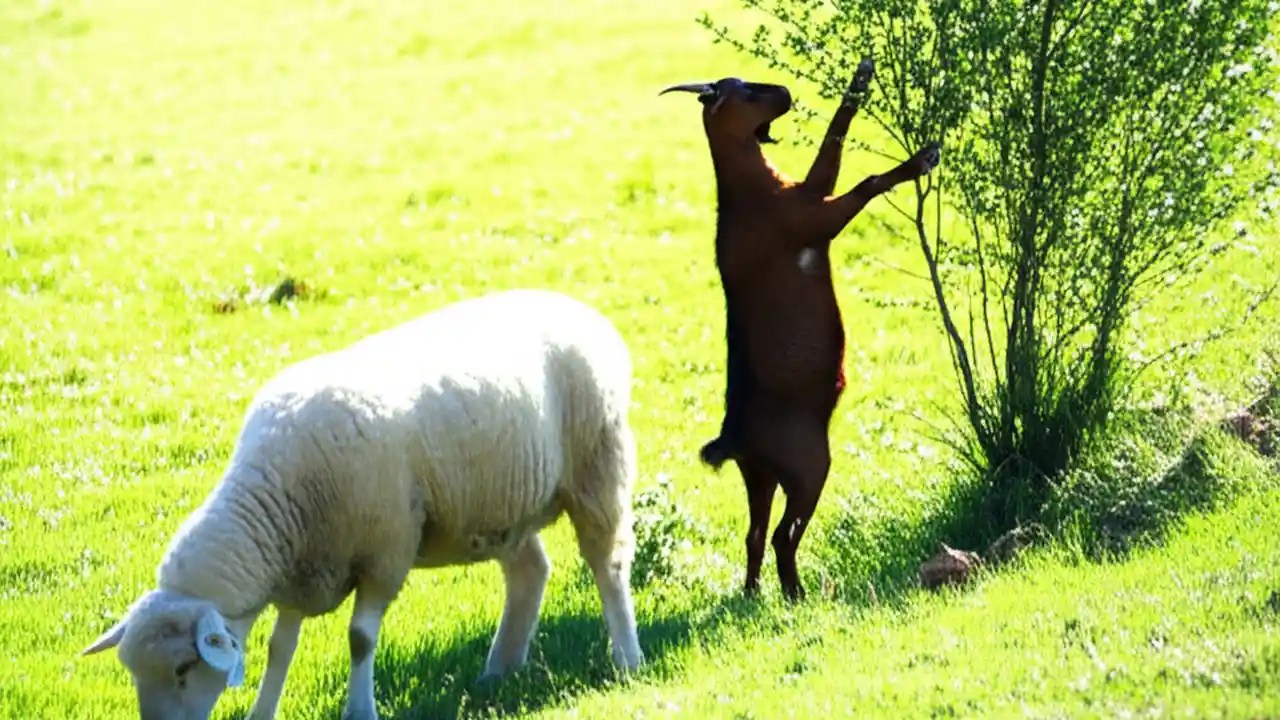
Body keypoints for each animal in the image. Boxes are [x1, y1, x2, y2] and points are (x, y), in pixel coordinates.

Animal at [80, 288, 645, 720]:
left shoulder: (385, 554)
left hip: (597, 465)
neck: (274, 499)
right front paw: (262, 711)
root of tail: (581, 310)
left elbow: (358, 638)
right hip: (498, 507)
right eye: (133, 673)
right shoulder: (303, 568)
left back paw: (627, 658)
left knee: (608, 563)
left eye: (181, 669)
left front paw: (359, 709)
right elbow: (278, 648)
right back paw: (499, 670)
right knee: (530, 570)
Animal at [660, 58, 941, 602]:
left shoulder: (811, 191)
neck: (752, 194)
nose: (785, 92)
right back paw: (797, 595)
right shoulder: (816, 219)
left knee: (753, 533)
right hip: (811, 466)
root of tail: (735, 437)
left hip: (760, 475)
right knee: (781, 535)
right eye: (745, 93)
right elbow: (865, 181)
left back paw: (754, 594)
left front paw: (863, 73)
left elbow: (834, 139)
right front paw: (921, 159)